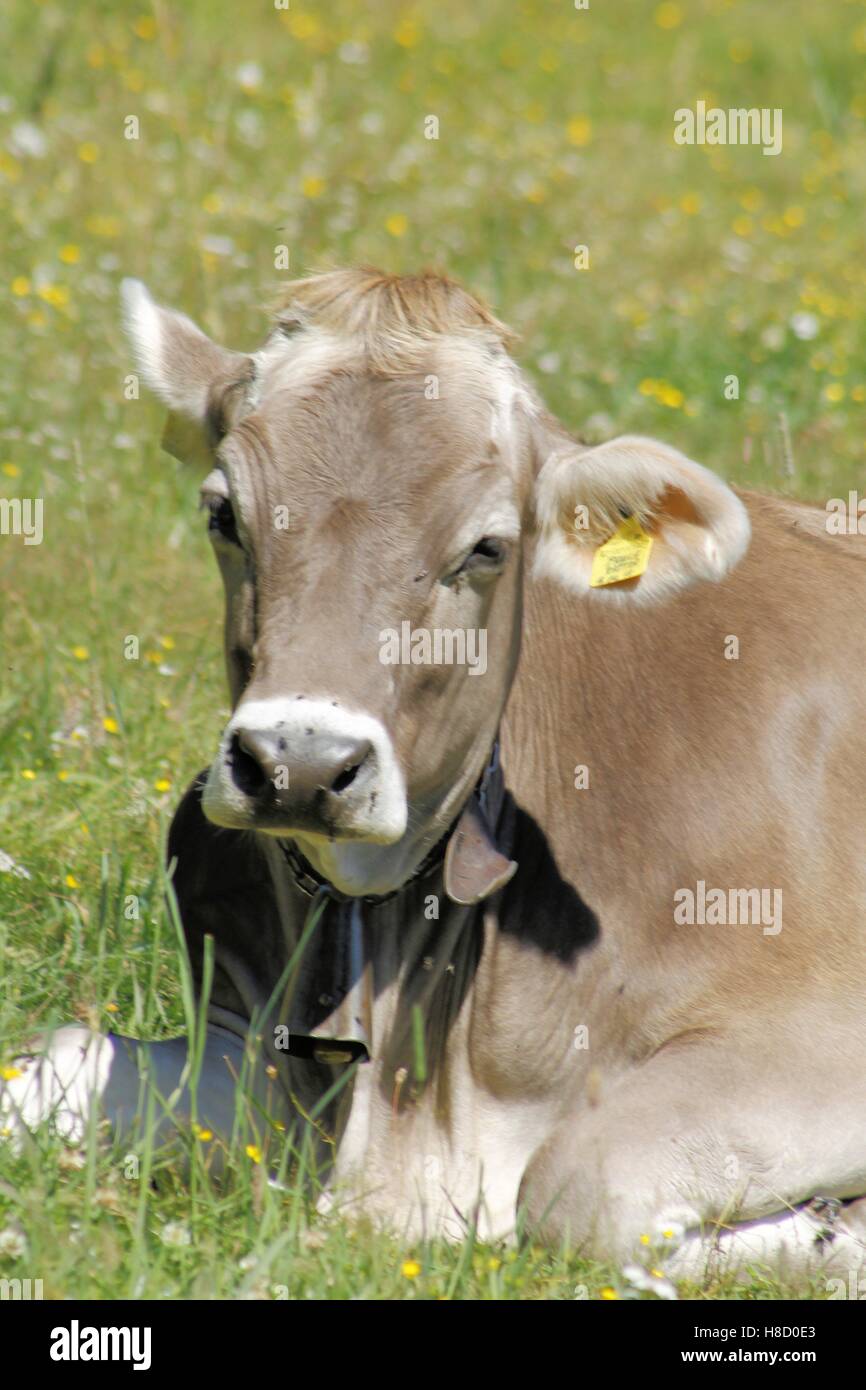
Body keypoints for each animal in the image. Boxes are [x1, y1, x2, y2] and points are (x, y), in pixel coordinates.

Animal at [4, 267, 866, 1281]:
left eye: (488, 548)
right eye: (224, 515)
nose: (298, 763)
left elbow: (585, 1181)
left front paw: (833, 1231)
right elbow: (47, 1066)